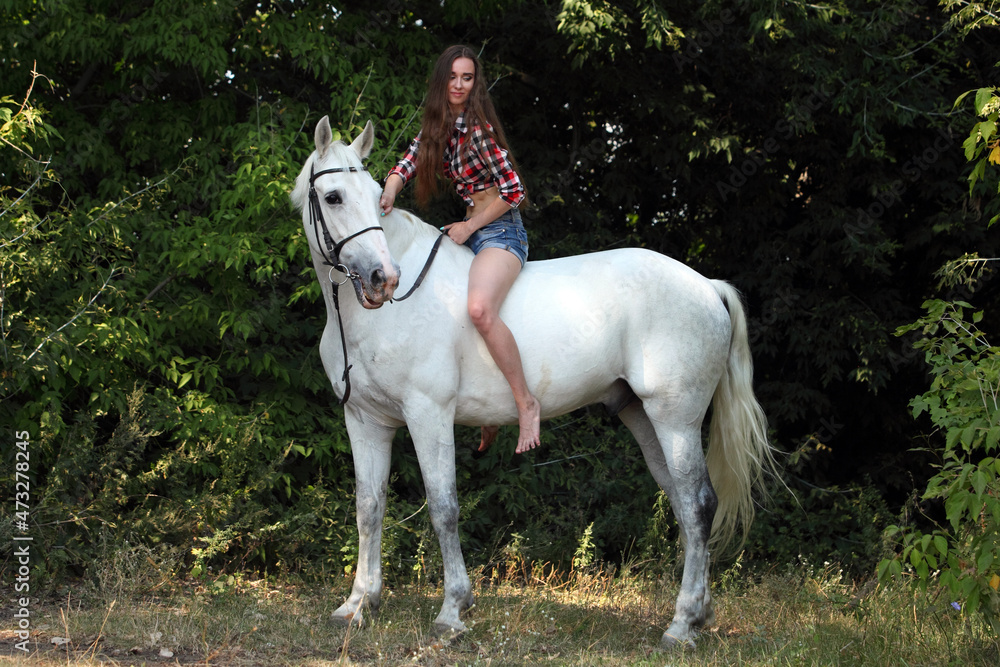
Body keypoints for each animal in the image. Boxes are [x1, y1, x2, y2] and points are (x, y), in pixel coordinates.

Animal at [289, 116, 778, 648]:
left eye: (376, 194)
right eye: (334, 196)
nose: (385, 278)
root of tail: (706, 286)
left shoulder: (428, 414)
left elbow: (443, 508)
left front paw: (452, 612)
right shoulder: (365, 420)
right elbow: (369, 507)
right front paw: (359, 604)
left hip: (677, 420)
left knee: (698, 505)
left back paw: (682, 624)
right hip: (644, 418)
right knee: (682, 505)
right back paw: (698, 613)